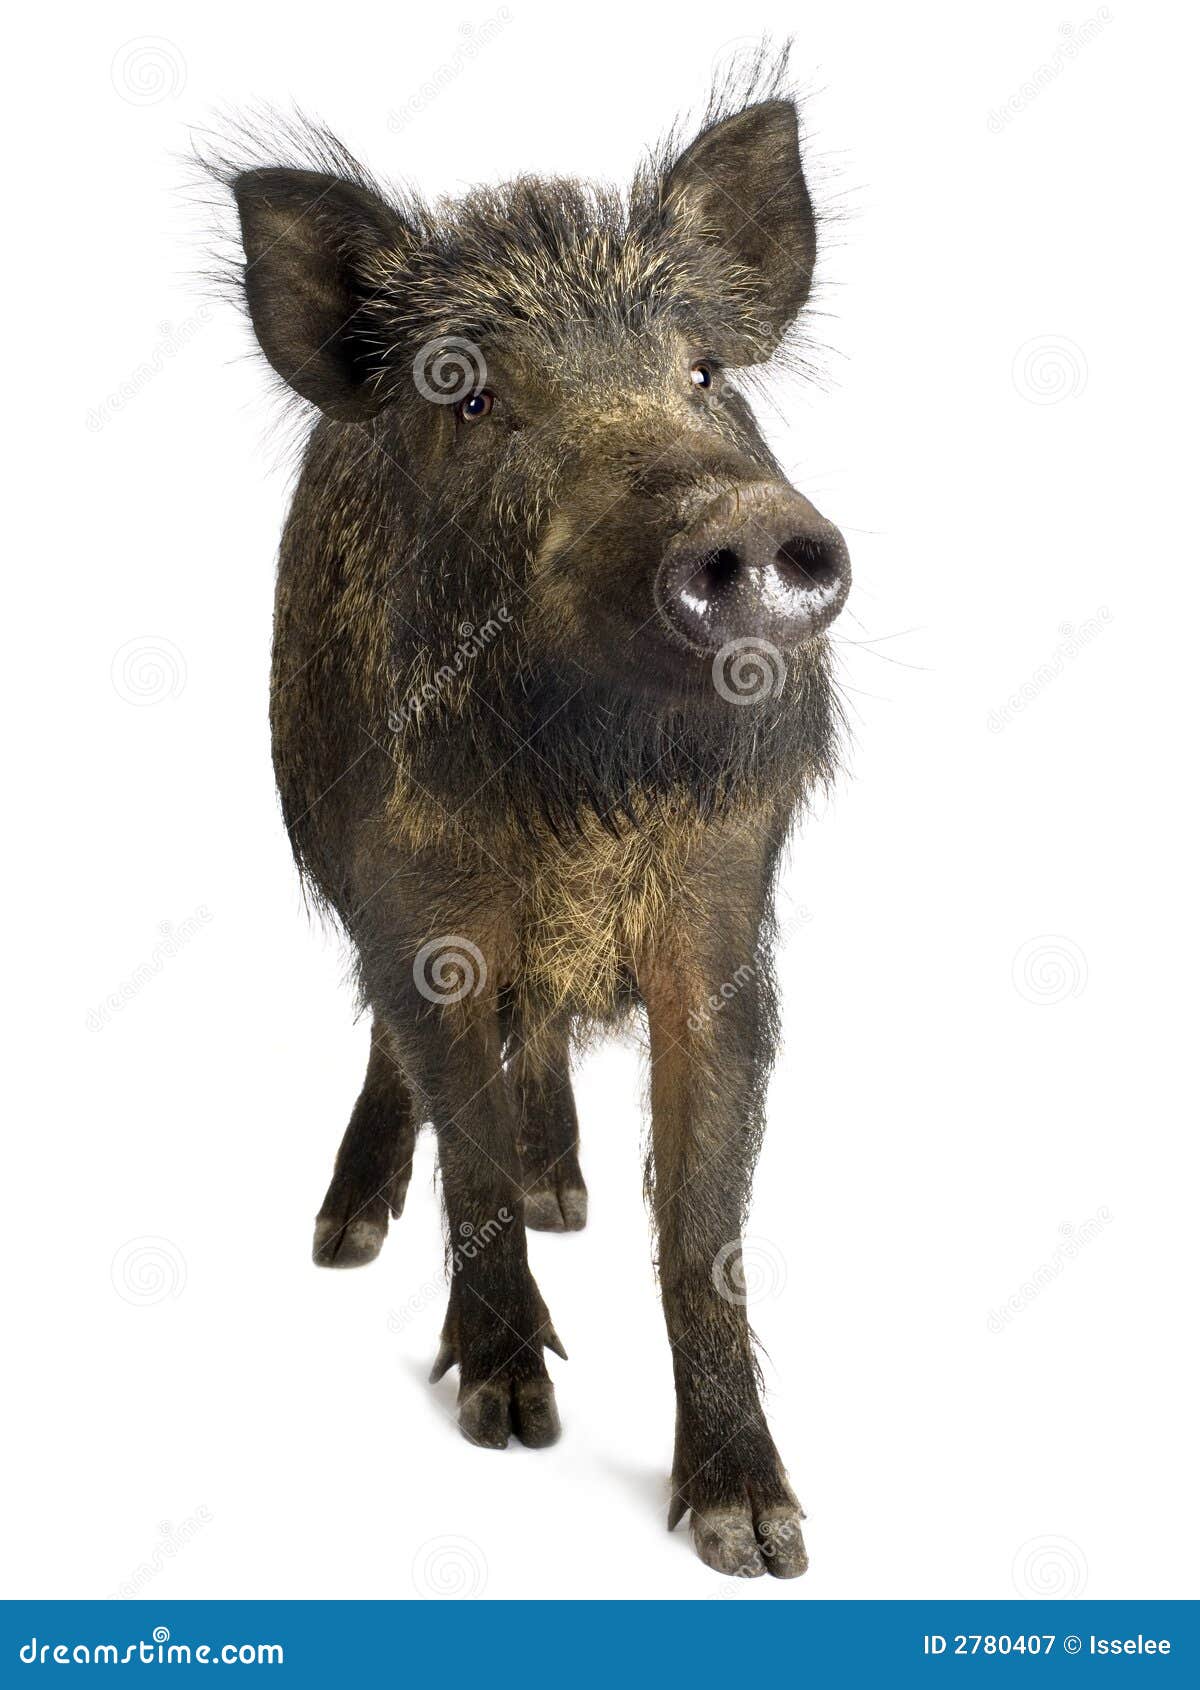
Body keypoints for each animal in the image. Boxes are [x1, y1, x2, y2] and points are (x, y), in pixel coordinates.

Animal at [215, 57, 850, 1579]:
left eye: (705, 373)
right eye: (472, 396)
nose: (743, 525)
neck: (585, 802)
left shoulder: (723, 926)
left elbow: (703, 1226)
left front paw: (758, 1539)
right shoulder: (420, 905)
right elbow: (470, 1149)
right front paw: (509, 1417)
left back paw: (570, 1191)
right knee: (405, 1056)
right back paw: (342, 1234)